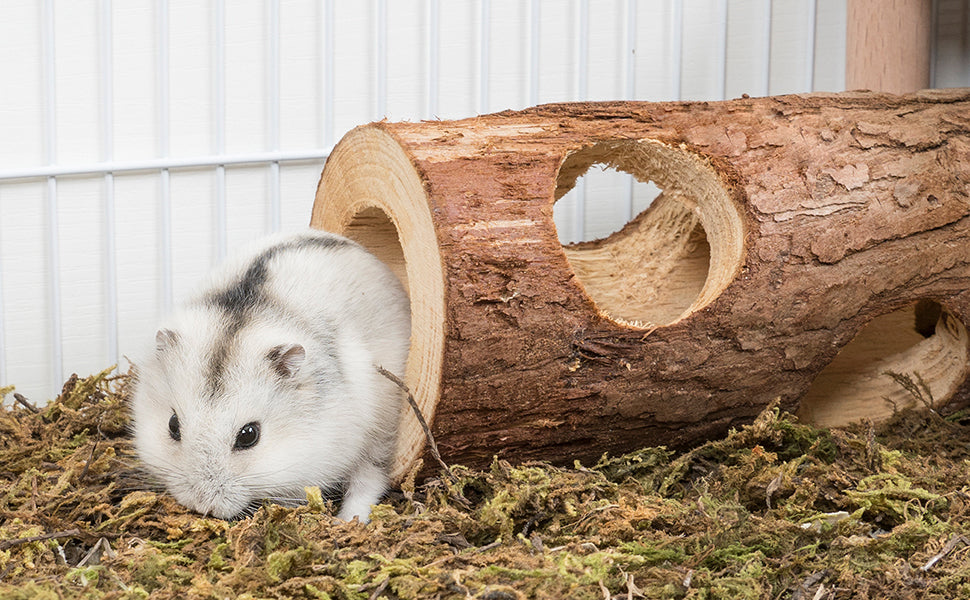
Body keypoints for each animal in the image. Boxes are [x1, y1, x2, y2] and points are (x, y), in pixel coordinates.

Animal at [130, 229, 410, 523]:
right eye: (173, 425)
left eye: (249, 435)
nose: (202, 505)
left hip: (381, 430)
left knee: (369, 479)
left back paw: (348, 519)